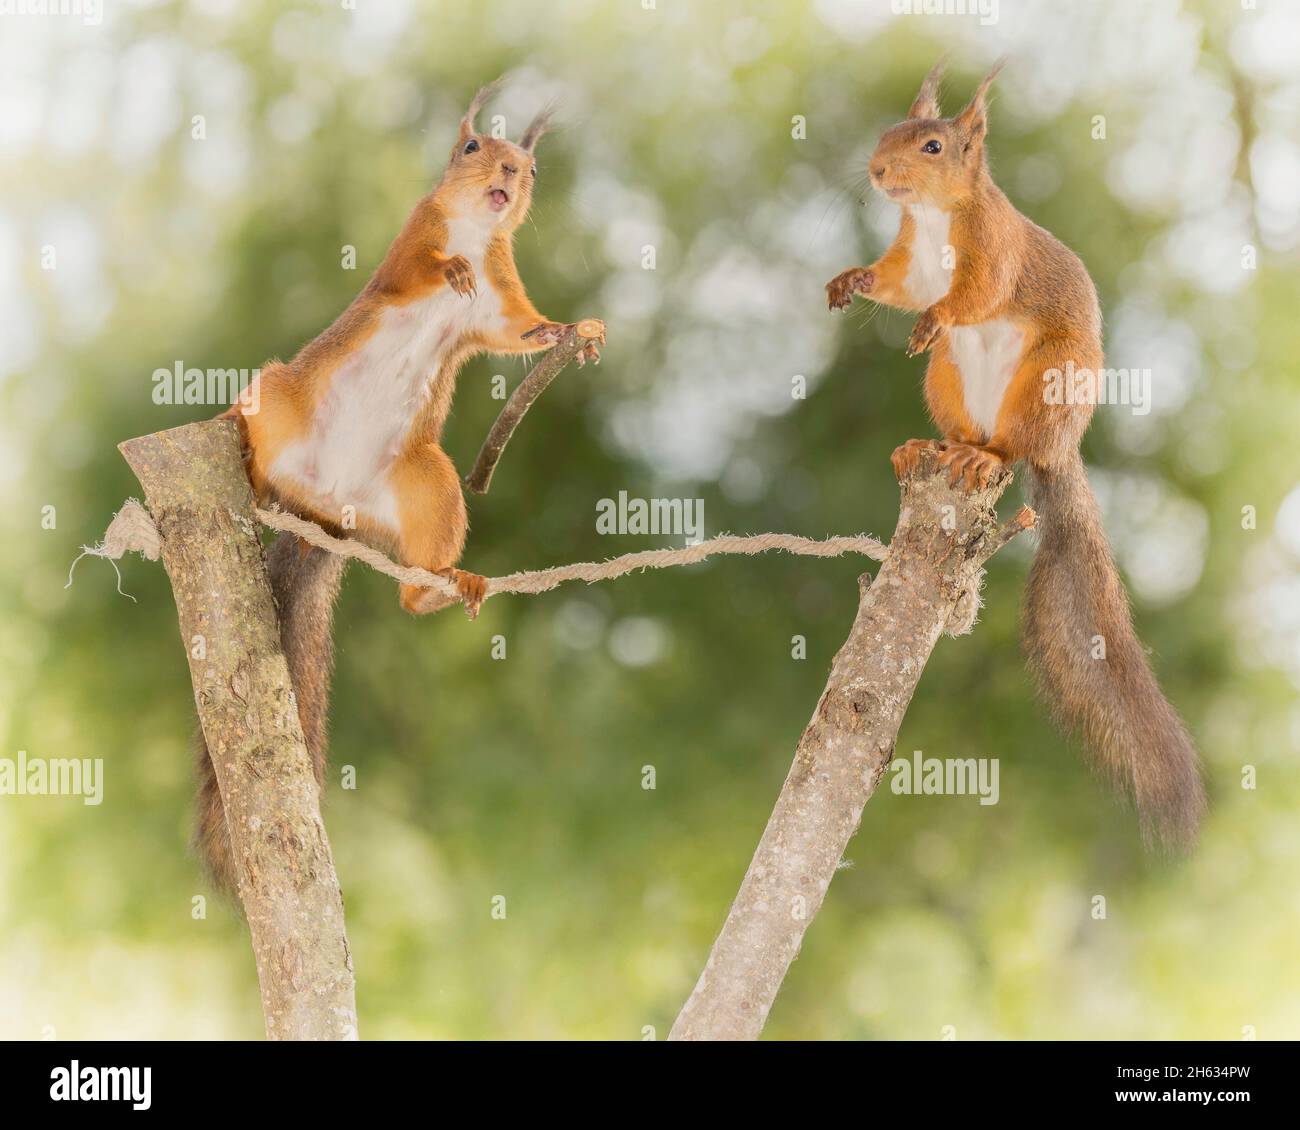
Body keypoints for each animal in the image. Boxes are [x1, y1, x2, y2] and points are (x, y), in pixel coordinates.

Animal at [198, 82, 604, 890]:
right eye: (472, 147)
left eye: (533, 167)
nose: (510, 174)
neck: (475, 234)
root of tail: (326, 508)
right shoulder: (409, 240)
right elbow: (412, 269)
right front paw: (447, 273)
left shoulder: (502, 296)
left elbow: (522, 329)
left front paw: (575, 329)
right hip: (279, 395)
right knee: (254, 421)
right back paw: (241, 456)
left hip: (430, 482)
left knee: (413, 591)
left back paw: (444, 584)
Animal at [826, 59, 1205, 848]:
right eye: (887, 131)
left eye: (933, 145)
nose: (877, 173)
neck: (935, 216)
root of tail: (1062, 448)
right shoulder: (911, 259)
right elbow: (899, 285)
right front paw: (851, 279)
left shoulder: (994, 250)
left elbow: (972, 295)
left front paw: (936, 315)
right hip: (946, 380)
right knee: (964, 428)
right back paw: (935, 446)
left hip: (1044, 385)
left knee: (1012, 447)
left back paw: (989, 460)